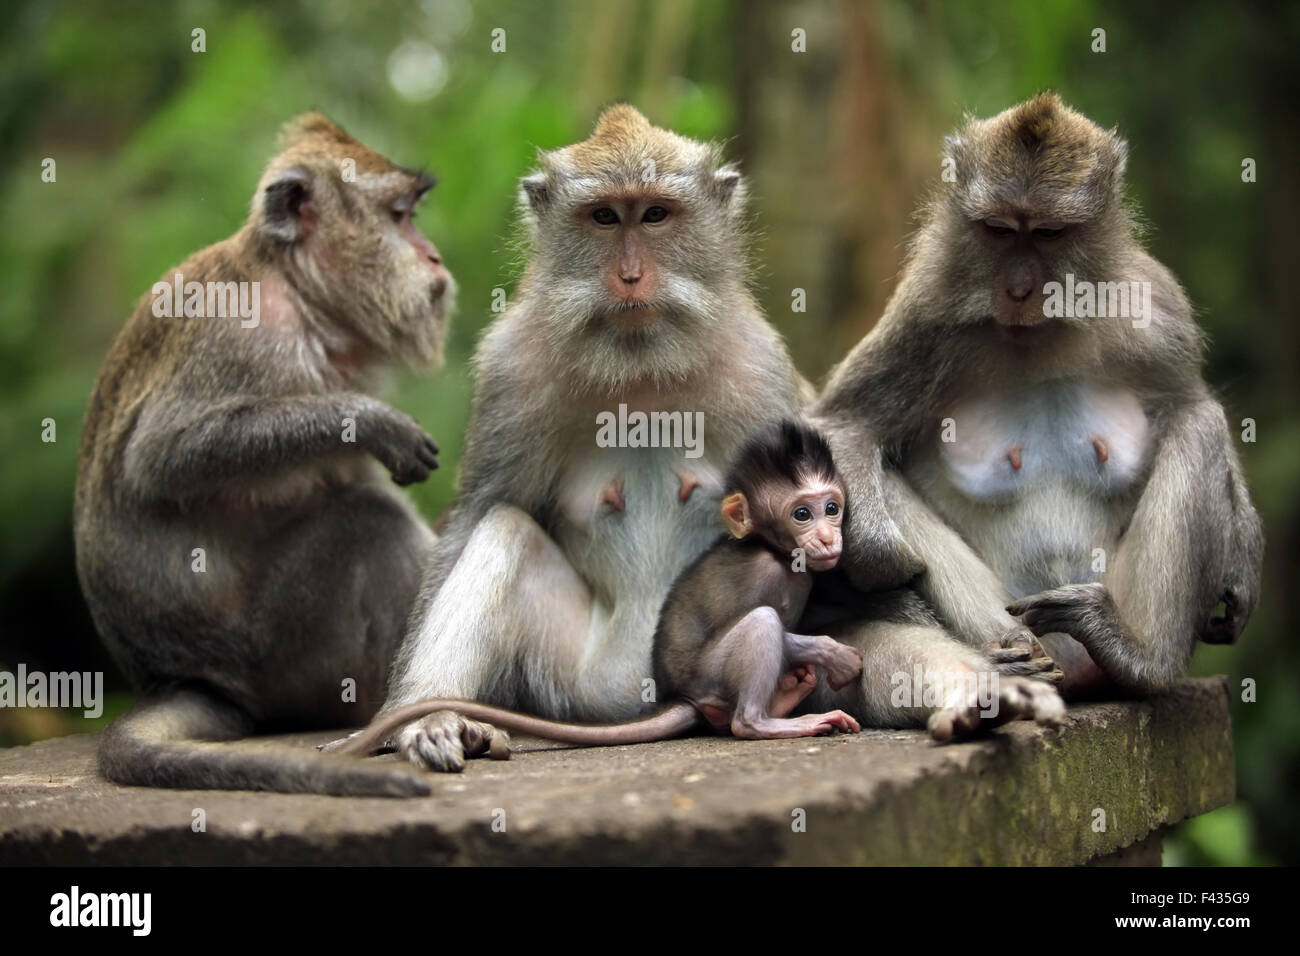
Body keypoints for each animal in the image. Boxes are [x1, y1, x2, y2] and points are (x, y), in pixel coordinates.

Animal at [74, 114, 456, 796]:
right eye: (399, 215)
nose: (434, 256)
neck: (295, 292)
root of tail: (188, 678)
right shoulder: (241, 337)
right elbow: (165, 455)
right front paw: (374, 423)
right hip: (281, 648)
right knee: (368, 521)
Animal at [326, 420, 866, 759]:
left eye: (831, 507)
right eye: (802, 513)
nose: (827, 537)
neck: (775, 552)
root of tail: (683, 696)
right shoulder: (761, 573)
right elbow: (762, 618)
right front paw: (833, 653)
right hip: (709, 675)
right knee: (759, 630)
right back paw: (765, 720)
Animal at [811, 92, 1264, 699]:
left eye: (1048, 233)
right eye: (1001, 230)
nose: (1021, 288)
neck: (1041, 329)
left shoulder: (1156, 308)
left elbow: (1188, 400)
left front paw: (1243, 562)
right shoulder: (925, 313)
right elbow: (847, 422)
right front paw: (878, 553)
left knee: (1200, 425)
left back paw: (1136, 657)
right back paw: (1012, 663)